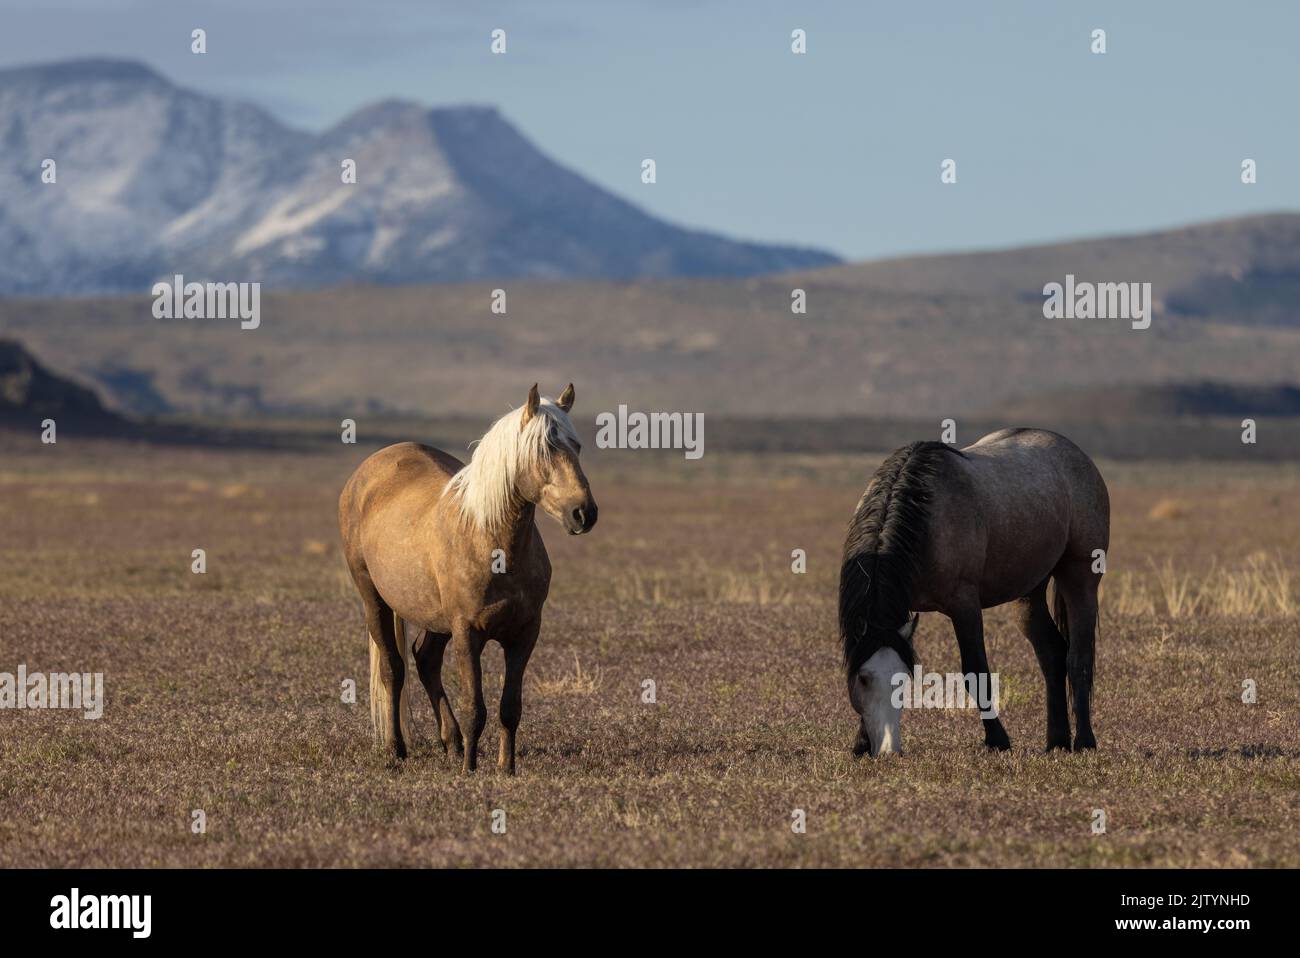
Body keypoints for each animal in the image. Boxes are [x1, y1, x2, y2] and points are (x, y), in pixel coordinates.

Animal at [338, 384, 597, 773]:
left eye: (576, 446)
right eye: (544, 449)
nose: (584, 513)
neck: (493, 544)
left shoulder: (524, 635)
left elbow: (510, 709)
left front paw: (506, 769)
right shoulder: (467, 632)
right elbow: (475, 708)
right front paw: (469, 772)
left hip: (435, 617)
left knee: (425, 659)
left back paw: (453, 743)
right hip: (375, 600)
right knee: (392, 669)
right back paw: (396, 750)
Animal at [839, 428, 1109, 756]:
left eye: (903, 680)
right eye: (863, 679)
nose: (890, 749)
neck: (924, 515)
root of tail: (1077, 454)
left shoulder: (964, 605)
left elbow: (976, 671)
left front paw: (998, 739)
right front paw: (861, 742)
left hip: (1080, 577)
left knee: (1078, 658)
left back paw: (1084, 741)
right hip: (1029, 592)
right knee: (1052, 653)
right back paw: (1056, 741)